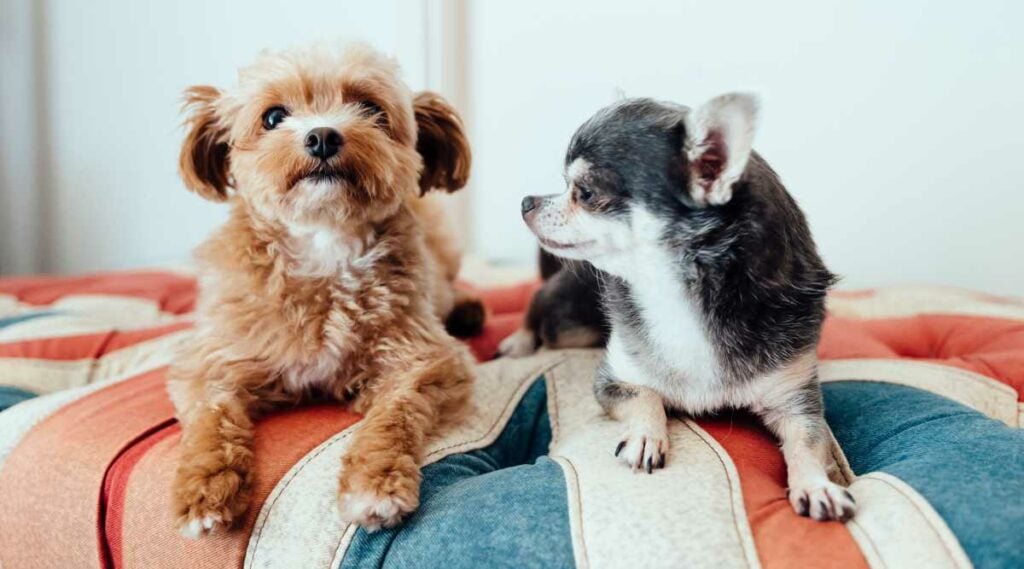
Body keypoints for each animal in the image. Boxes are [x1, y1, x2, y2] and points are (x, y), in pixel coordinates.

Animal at [168, 45, 483, 536]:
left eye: (371, 109)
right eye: (274, 116)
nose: (321, 137)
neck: (324, 246)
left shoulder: (424, 360)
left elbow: (392, 416)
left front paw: (373, 483)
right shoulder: (209, 363)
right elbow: (210, 421)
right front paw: (205, 488)